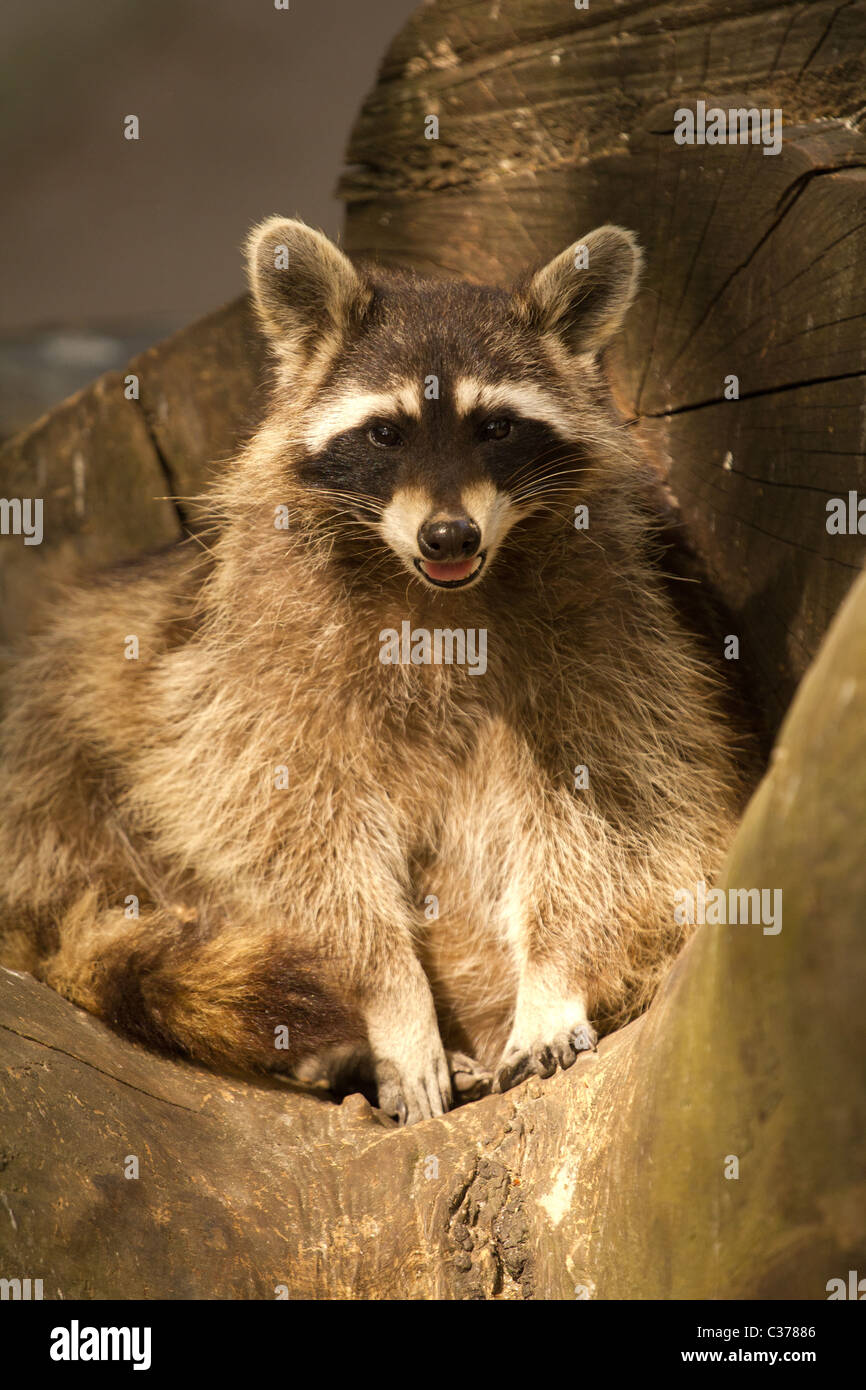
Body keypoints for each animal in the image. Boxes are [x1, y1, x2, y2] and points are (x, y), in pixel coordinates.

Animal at [0, 219, 747, 1124]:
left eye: (496, 428)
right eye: (385, 433)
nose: (449, 535)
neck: (435, 590)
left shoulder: (611, 633)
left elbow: (617, 809)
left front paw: (554, 976)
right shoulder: (260, 653)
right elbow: (283, 823)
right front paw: (389, 999)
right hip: (59, 741)